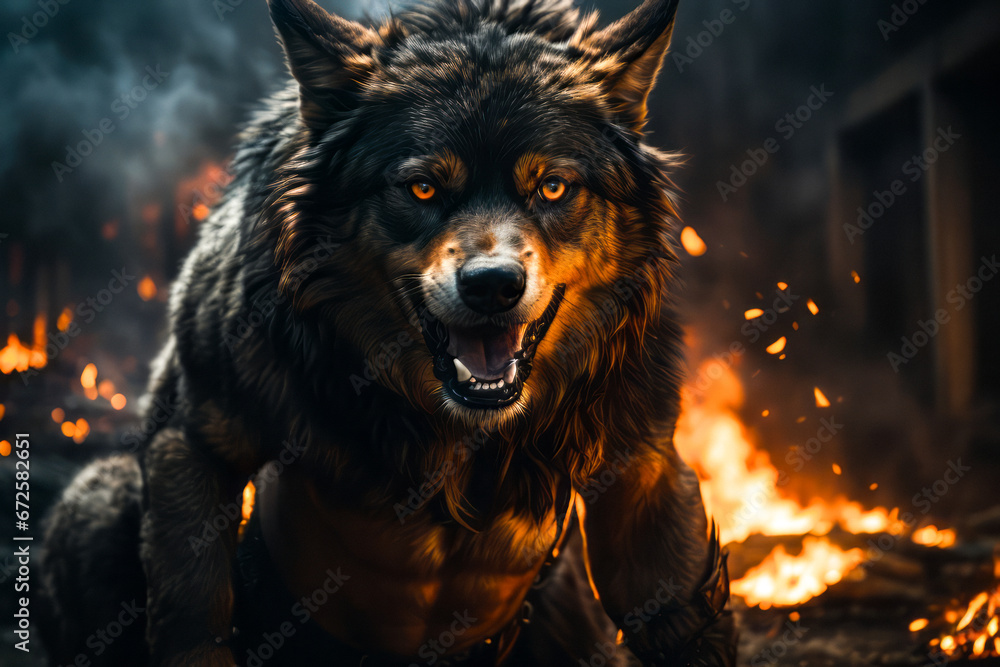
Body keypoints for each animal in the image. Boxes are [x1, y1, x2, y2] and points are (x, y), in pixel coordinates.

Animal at [37, 0, 737, 664]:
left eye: (553, 187)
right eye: (422, 188)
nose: (492, 286)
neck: (458, 437)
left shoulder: (645, 475)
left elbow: (679, 616)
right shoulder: (194, 437)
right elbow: (194, 618)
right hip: (99, 498)